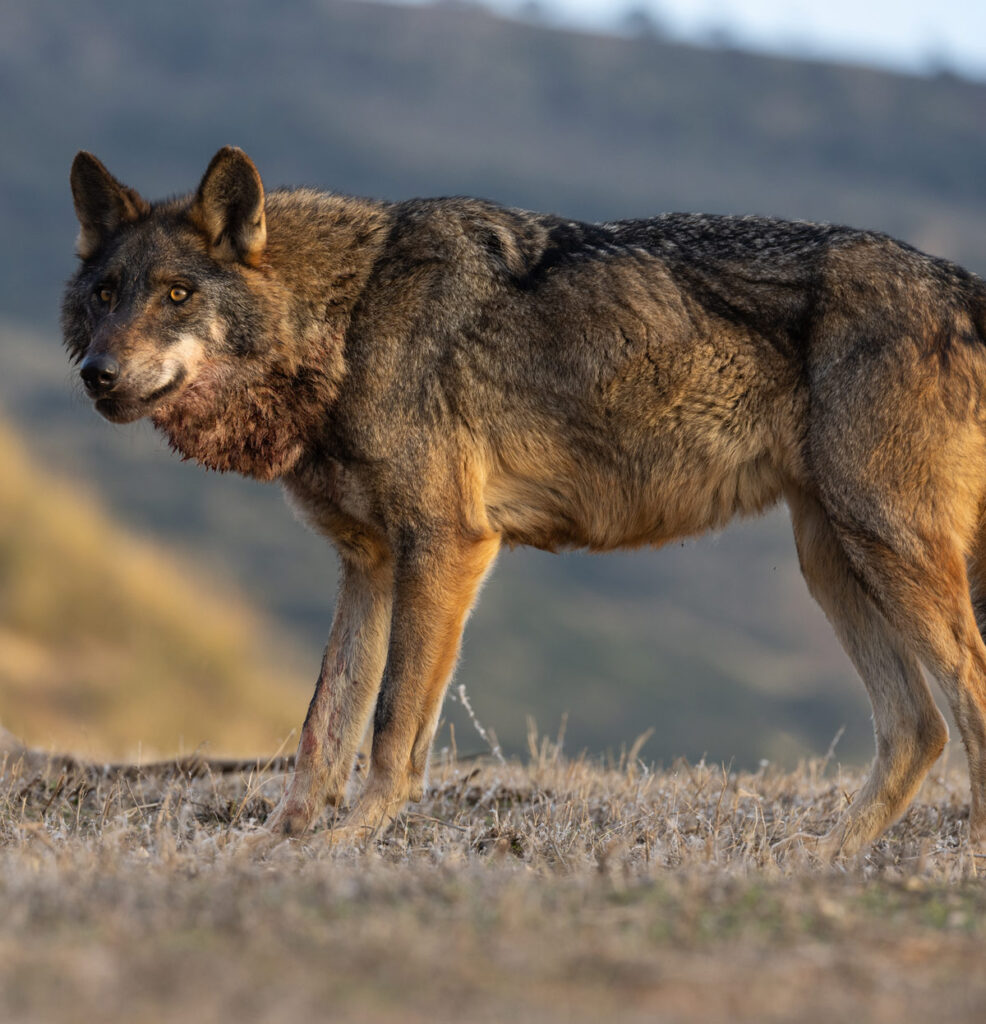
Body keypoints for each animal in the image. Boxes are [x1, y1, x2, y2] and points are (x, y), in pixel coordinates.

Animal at [62, 146, 986, 855]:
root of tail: (963, 285)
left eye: (178, 294)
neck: (349, 318)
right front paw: (275, 849)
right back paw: (816, 860)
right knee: (917, 729)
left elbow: (392, 725)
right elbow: (324, 726)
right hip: (831, 559)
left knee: (967, 697)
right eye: (106, 293)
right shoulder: (366, 564)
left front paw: (348, 844)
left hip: (884, 548)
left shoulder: (447, 544)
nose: (95, 375)